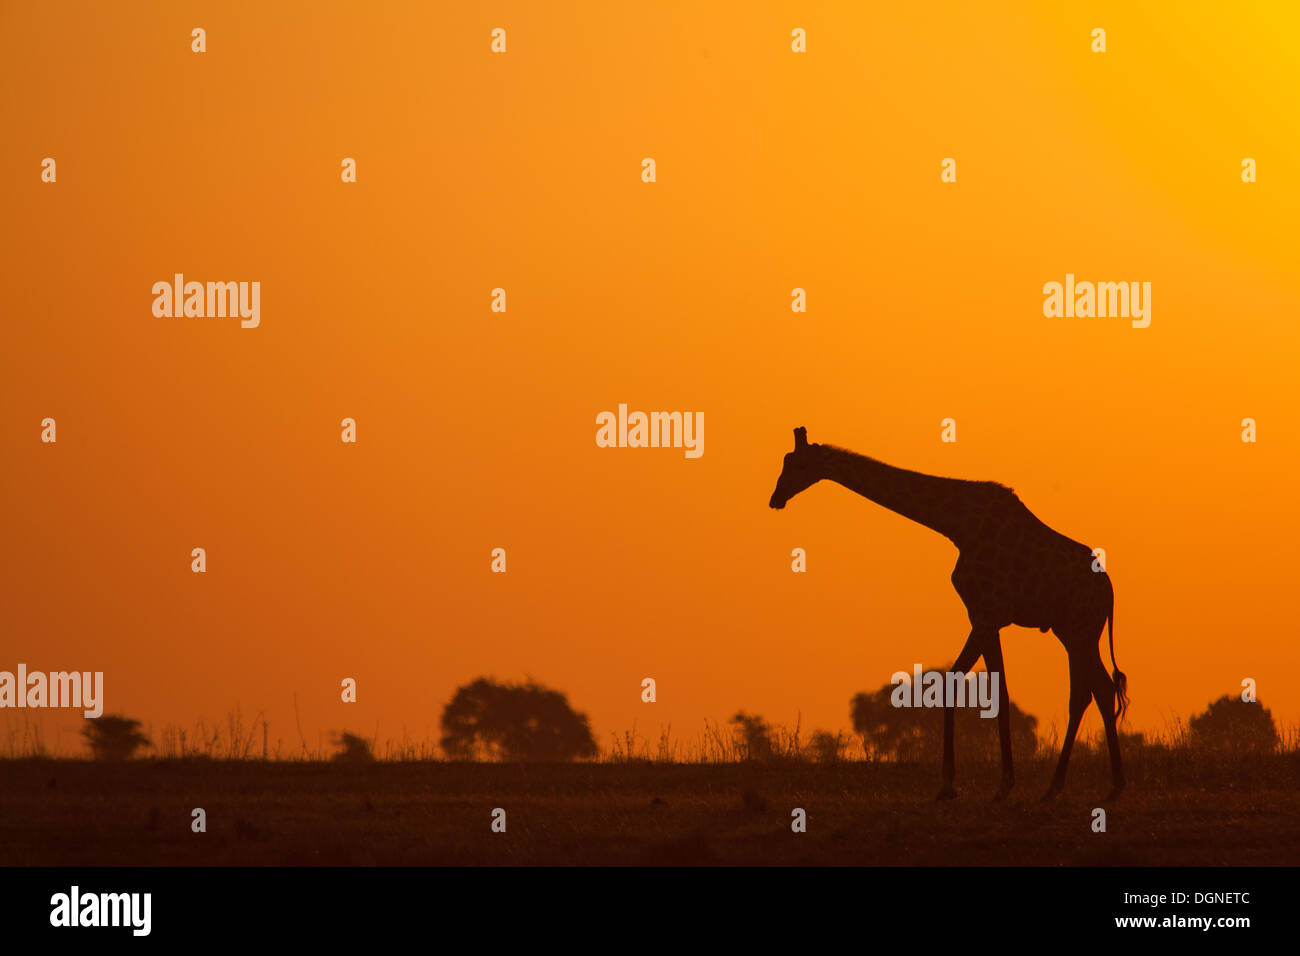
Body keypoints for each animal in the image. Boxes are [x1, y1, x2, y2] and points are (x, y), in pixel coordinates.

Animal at [768, 427, 1127, 800]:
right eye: (786, 460)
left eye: (796, 464)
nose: (775, 498)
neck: (957, 526)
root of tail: (1109, 591)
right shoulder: (980, 616)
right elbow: (956, 682)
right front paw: (947, 784)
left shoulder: (987, 614)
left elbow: (999, 692)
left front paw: (1002, 784)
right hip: (1072, 631)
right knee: (1097, 690)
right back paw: (1101, 786)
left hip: (1080, 628)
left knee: (1087, 692)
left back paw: (1067, 786)